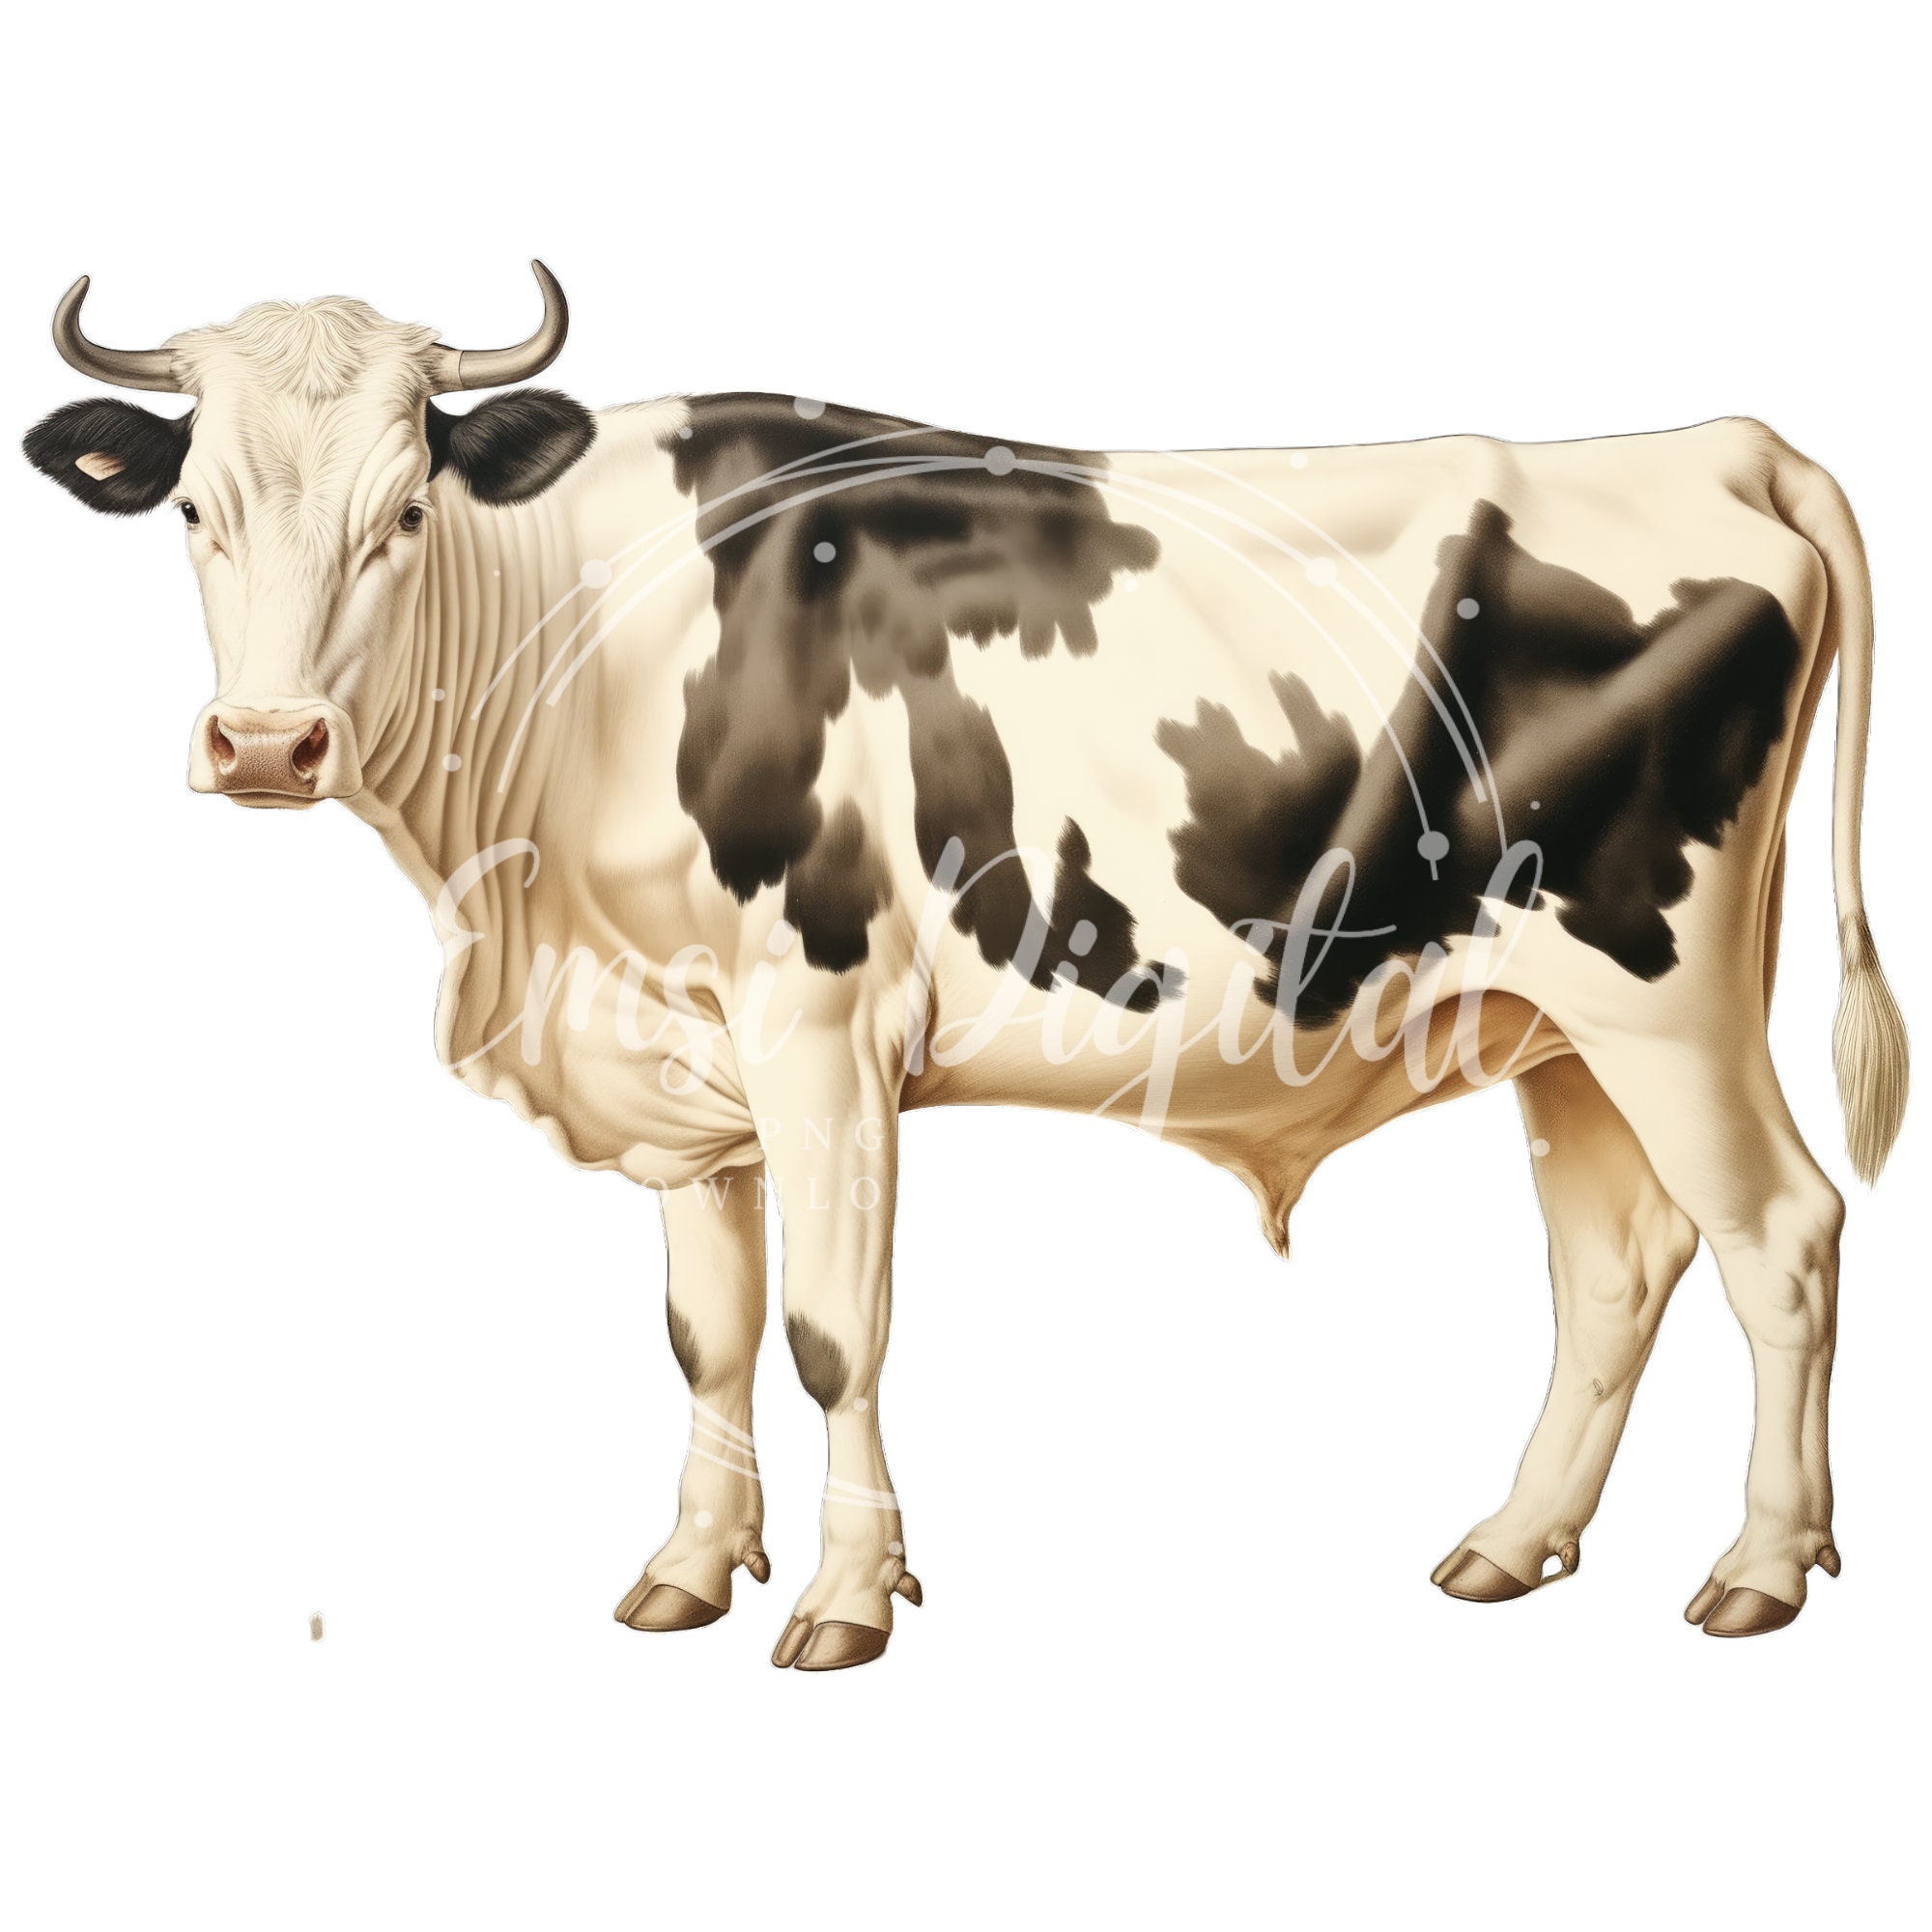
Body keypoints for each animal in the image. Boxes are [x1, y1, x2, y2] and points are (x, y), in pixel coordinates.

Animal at [26, 263, 1907, 1668]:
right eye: (190, 506)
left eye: (406, 505)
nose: (266, 743)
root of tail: (1714, 447)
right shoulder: (681, 1049)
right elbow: (705, 1333)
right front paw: (688, 1574)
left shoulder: (822, 1021)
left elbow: (827, 1331)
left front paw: (847, 1603)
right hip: (1550, 1023)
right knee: (1619, 1264)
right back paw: (1515, 1544)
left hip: (1663, 994)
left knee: (1782, 1235)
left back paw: (1757, 1571)